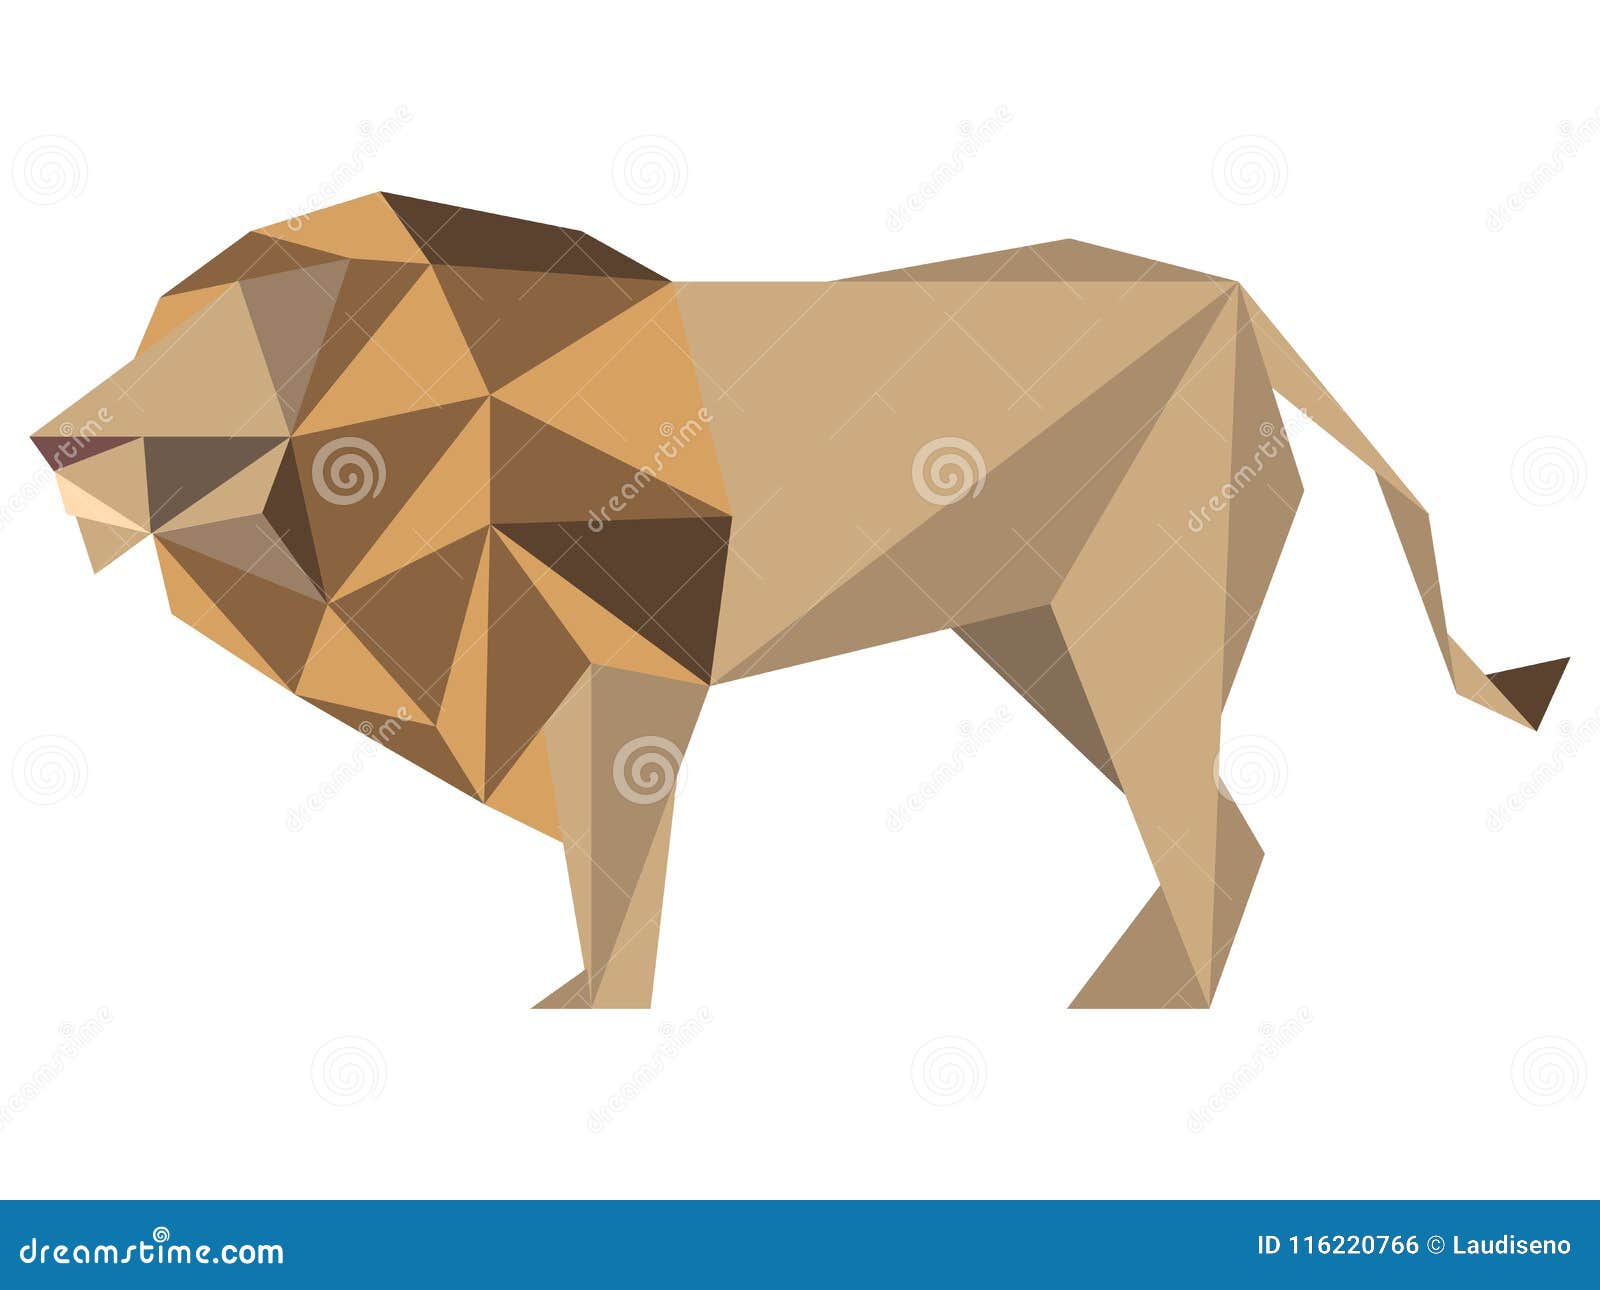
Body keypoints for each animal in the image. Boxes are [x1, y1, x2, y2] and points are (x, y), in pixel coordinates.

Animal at [31, 193, 1567, 1010]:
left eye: (241, 328)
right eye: (157, 322)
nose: (51, 436)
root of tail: (1245, 302)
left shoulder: (622, 704)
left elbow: (618, 895)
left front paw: (593, 1021)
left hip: (1139, 627)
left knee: (1202, 834)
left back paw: (1143, 1000)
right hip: (1041, 645)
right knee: (1233, 834)